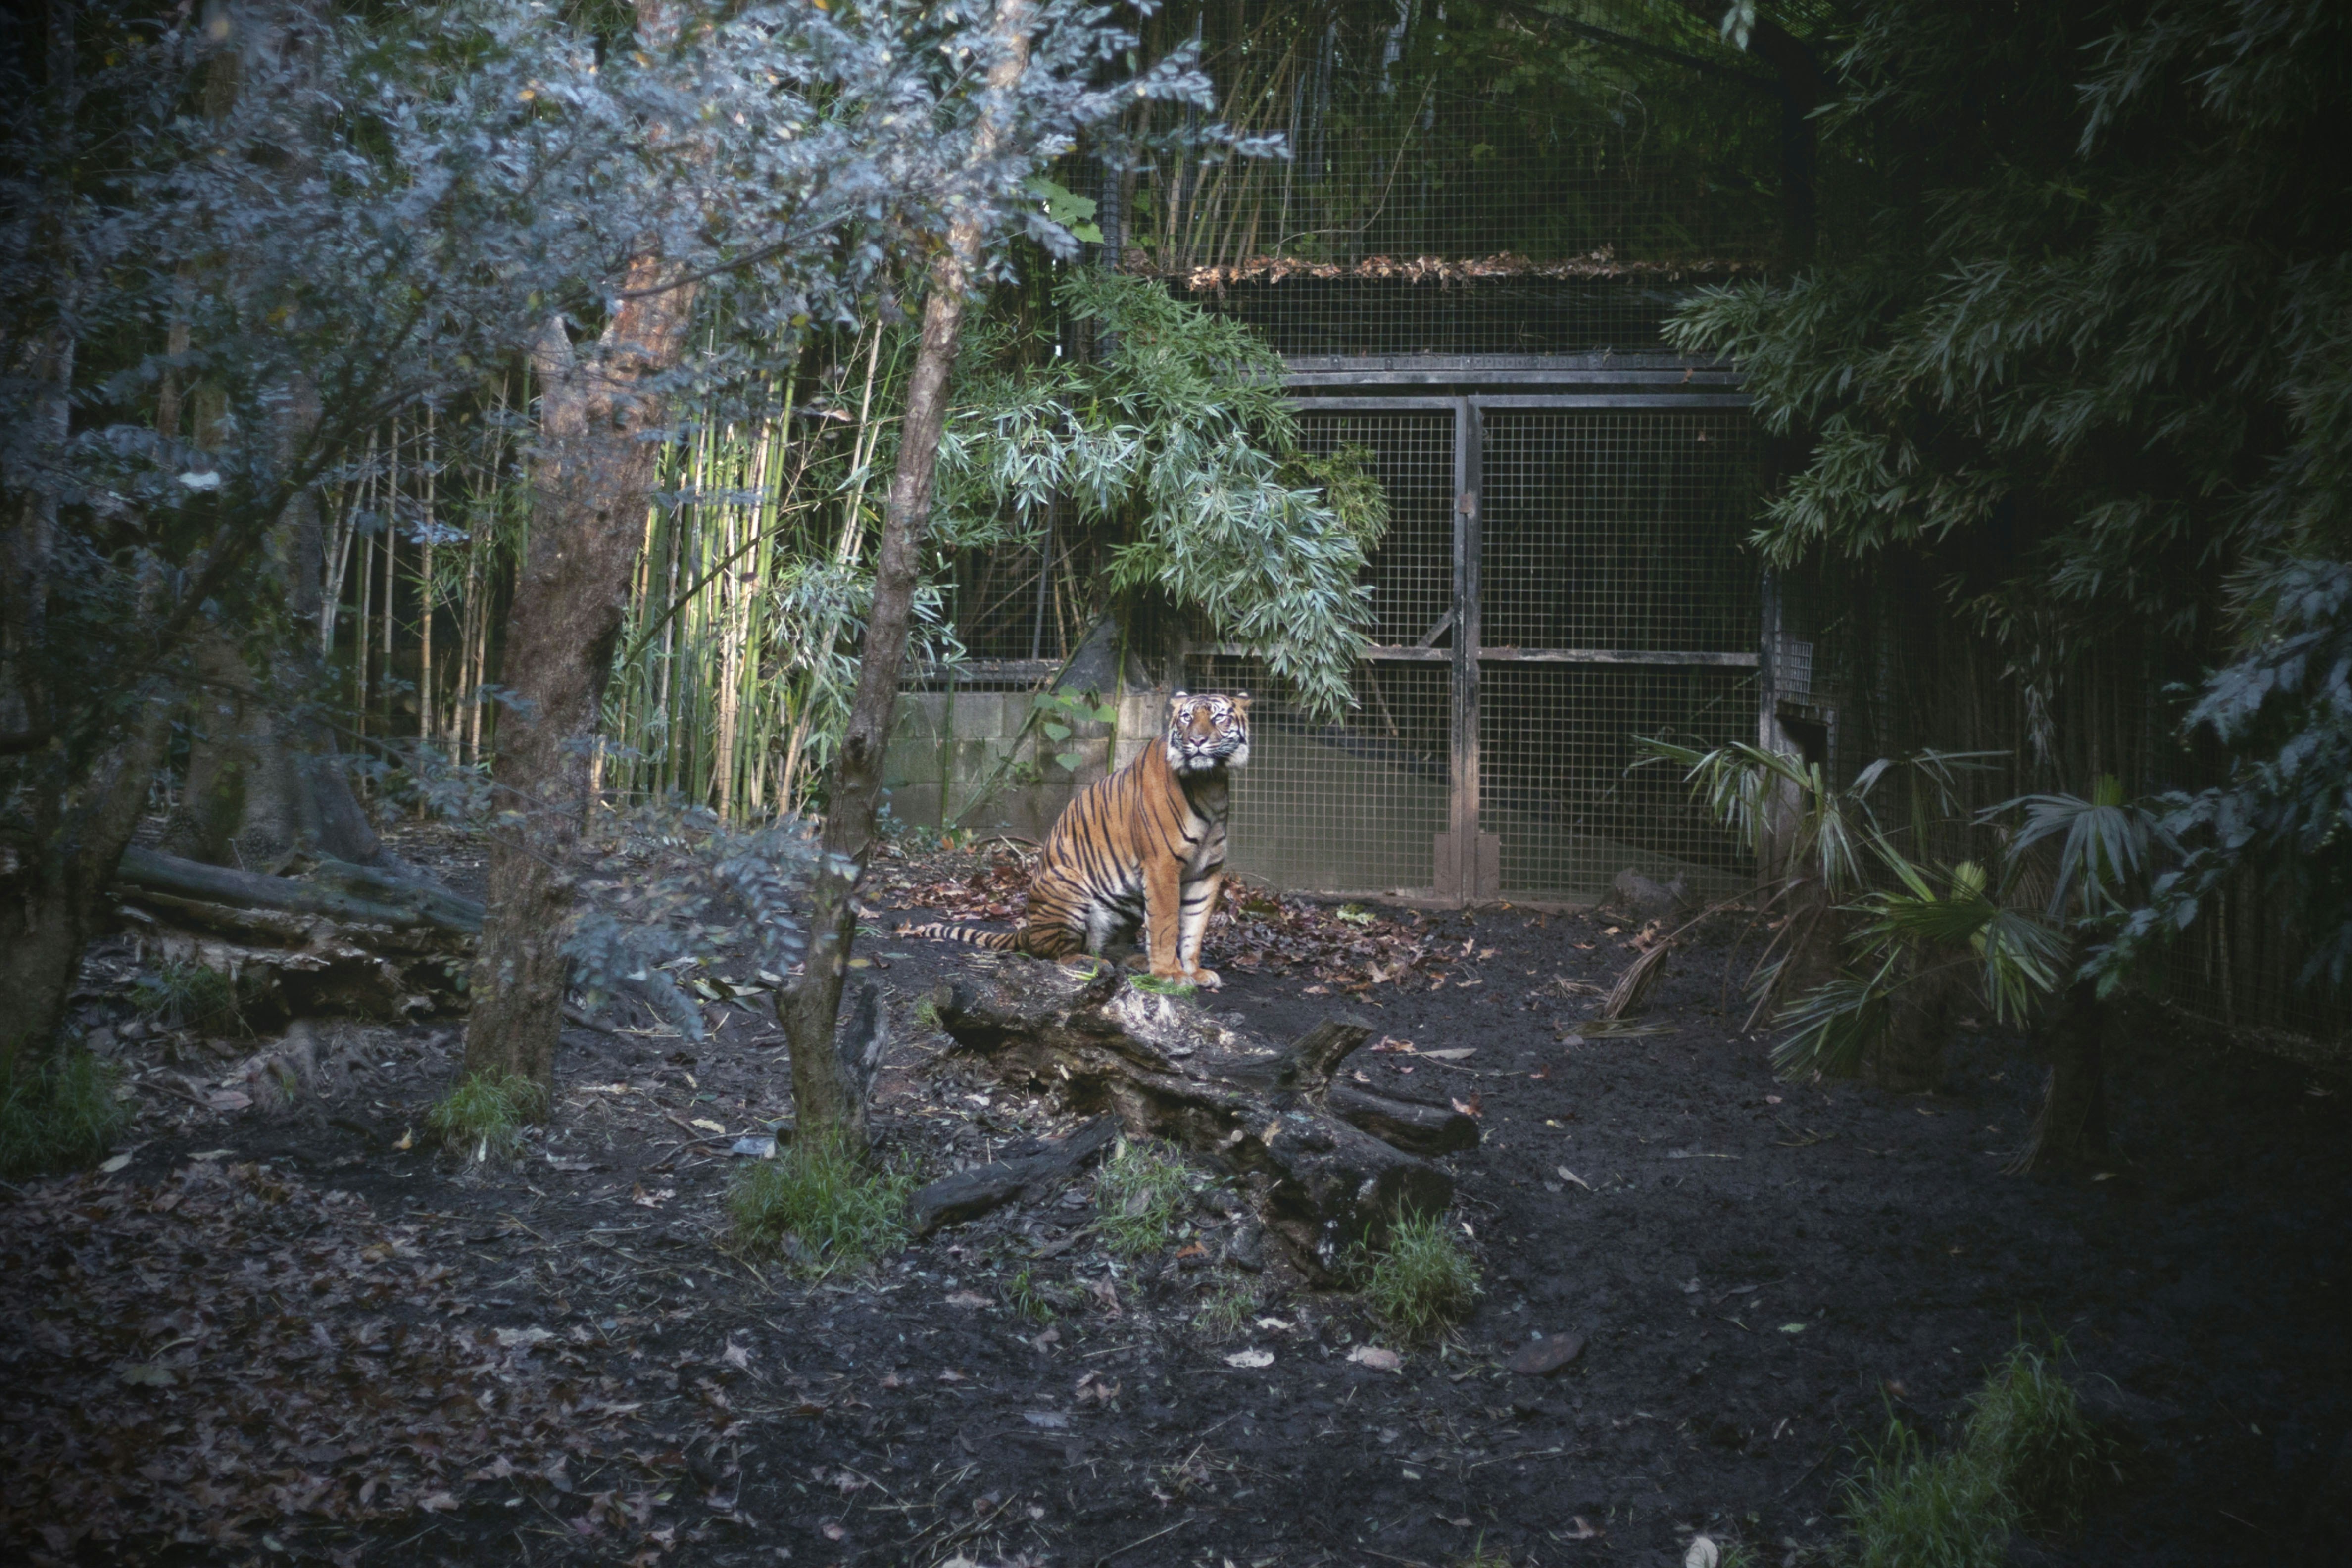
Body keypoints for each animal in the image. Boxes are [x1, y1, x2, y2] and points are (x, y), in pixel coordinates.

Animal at [898, 690, 1251, 988]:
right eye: (1187, 718)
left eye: (1219, 718)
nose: (1197, 741)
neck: (1210, 783)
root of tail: (1026, 930)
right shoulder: (1162, 866)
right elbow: (1166, 925)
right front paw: (1170, 974)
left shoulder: (1208, 871)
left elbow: (1194, 926)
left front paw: (1194, 971)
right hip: (1069, 884)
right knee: (1054, 953)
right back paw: (1088, 962)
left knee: (1104, 947)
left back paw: (1137, 960)